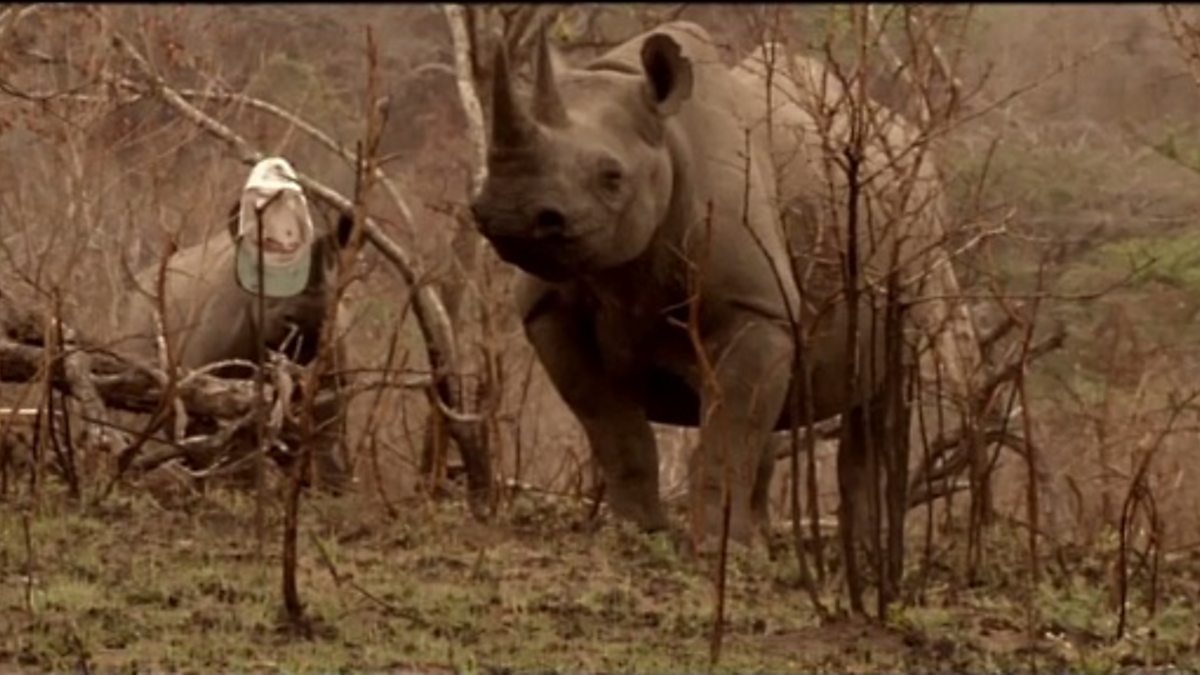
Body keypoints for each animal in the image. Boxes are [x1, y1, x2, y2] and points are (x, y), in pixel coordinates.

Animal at [469, 21, 981, 556]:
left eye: (612, 177)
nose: (511, 214)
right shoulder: (548, 308)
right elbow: (616, 429)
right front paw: (636, 534)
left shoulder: (753, 308)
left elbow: (730, 428)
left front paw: (717, 550)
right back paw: (768, 541)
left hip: (920, 227)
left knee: (881, 396)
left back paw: (860, 553)